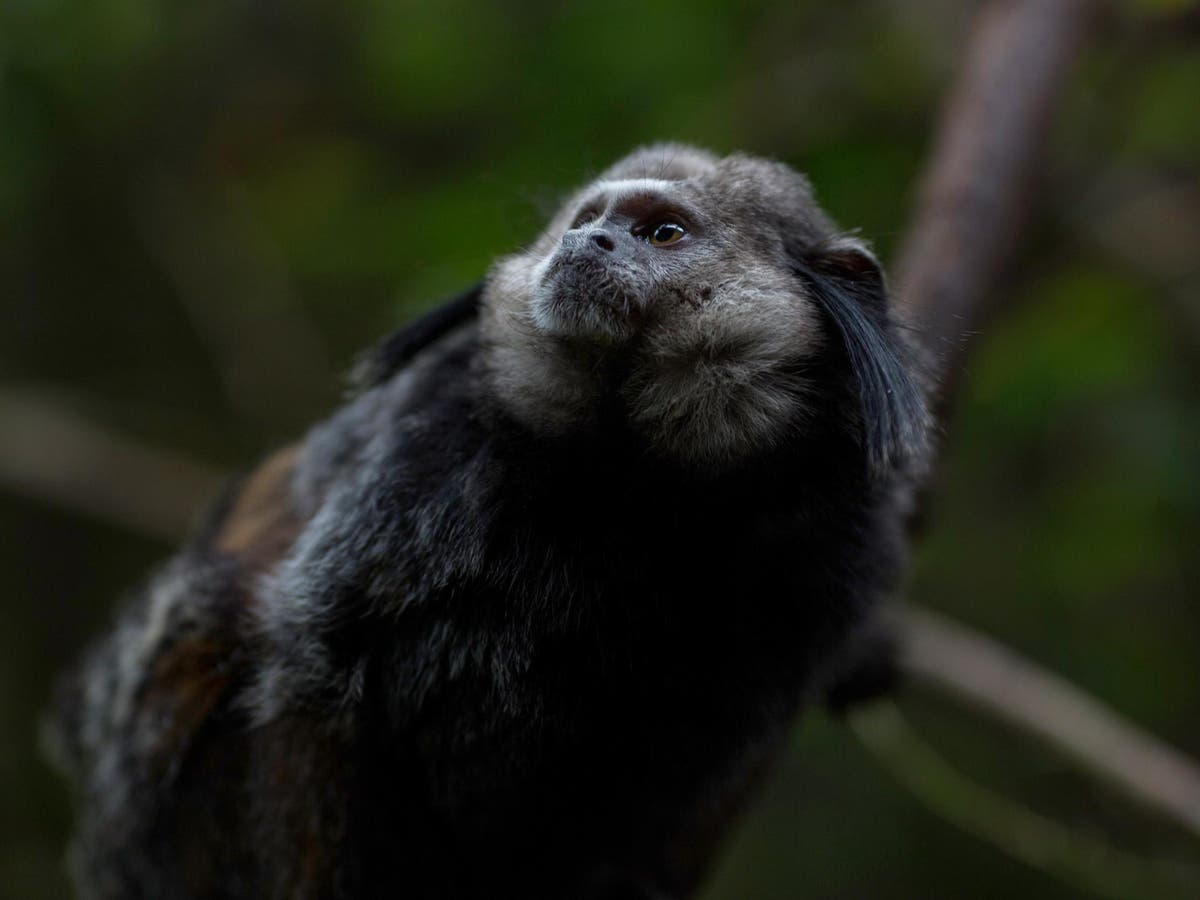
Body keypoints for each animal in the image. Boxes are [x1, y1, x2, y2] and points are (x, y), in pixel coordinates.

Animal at [46, 144, 931, 900]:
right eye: (590, 218)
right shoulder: (421, 449)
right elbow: (312, 678)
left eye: (663, 232)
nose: (588, 242)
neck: (638, 492)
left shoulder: (831, 554)